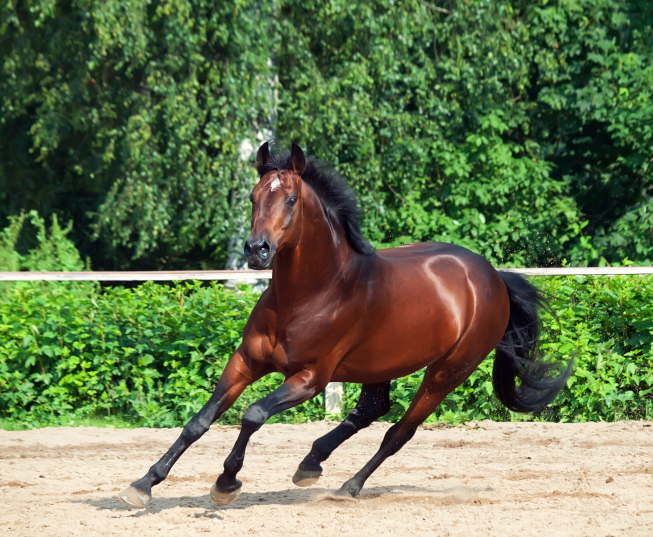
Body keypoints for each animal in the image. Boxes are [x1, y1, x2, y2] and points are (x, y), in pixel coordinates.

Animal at [117, 142, 572, 508]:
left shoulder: (310, 379)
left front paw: (227, 483)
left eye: (291, 199)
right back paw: (311, 463)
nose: (257, 250)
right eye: (252, 197)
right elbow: (200, 421)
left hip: (448, 371)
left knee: (399, 431)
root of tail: (492, 277)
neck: (310, 294)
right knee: (372, 409)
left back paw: (348, 486)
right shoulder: (246, 361)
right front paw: (143, 484)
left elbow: (253, 414)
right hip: (382, 364)